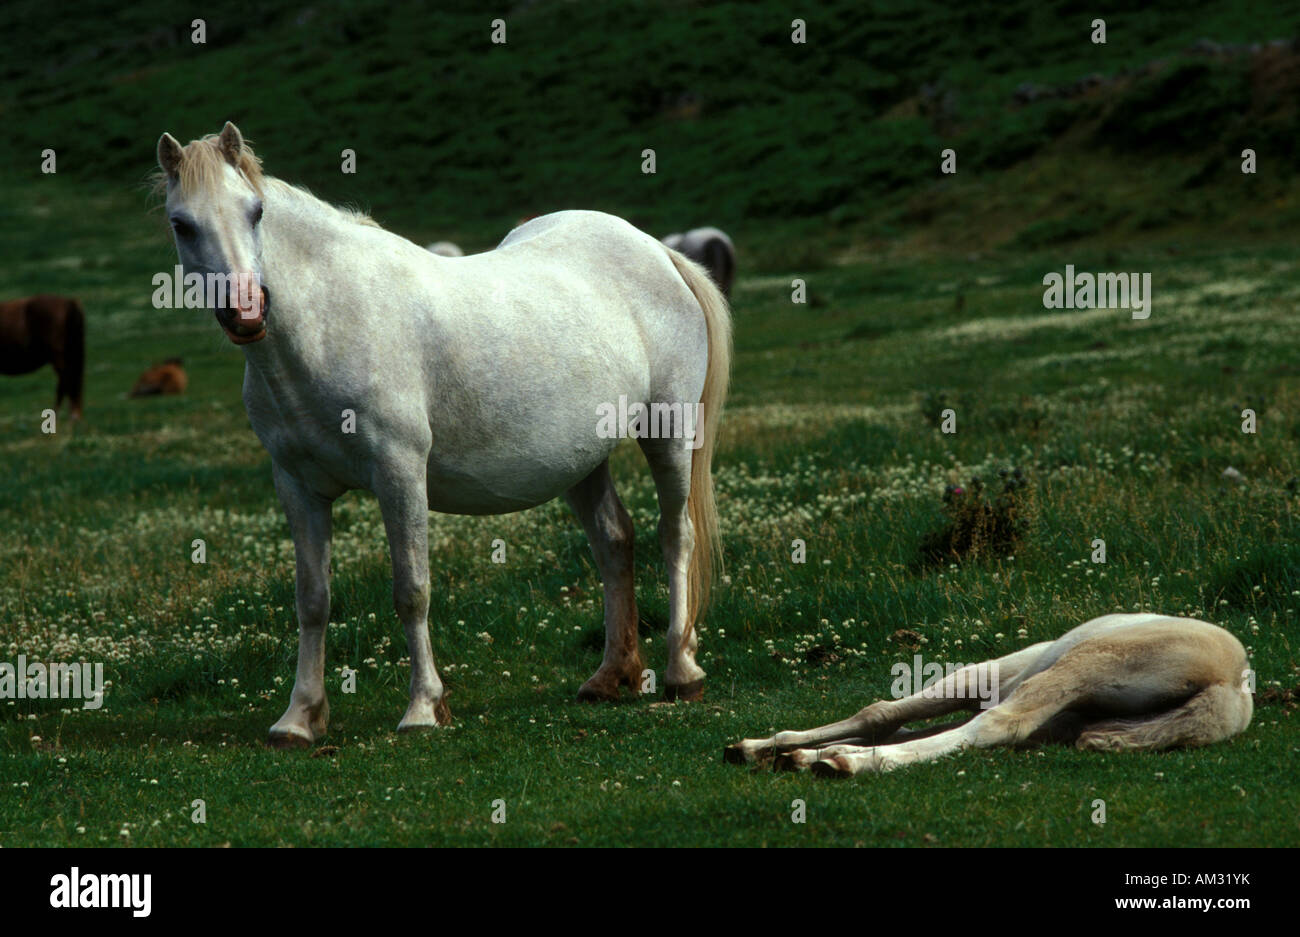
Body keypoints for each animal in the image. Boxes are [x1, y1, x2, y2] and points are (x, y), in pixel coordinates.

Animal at [155, 123, 731, 748]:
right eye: (181, 223)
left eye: (255, 211)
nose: (246, 314)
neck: (332, 323)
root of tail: (658, 252)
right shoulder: (297, 486)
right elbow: (312, 599)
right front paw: (300, 718)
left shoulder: (400, 472)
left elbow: (412, 590)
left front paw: (424, 707)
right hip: (581, 459)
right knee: (614, 541)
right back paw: (610, 676)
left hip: (670, 431)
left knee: (675, 535)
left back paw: (681, 672)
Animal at [725, 614, 1253, 776]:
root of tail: (1229, 687)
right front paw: (790, 753)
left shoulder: (990, 677)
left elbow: (881, 715)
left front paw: (761, 747)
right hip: (1071, 718)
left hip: (1082, 665)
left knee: (994, 724)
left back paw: (844, 764)